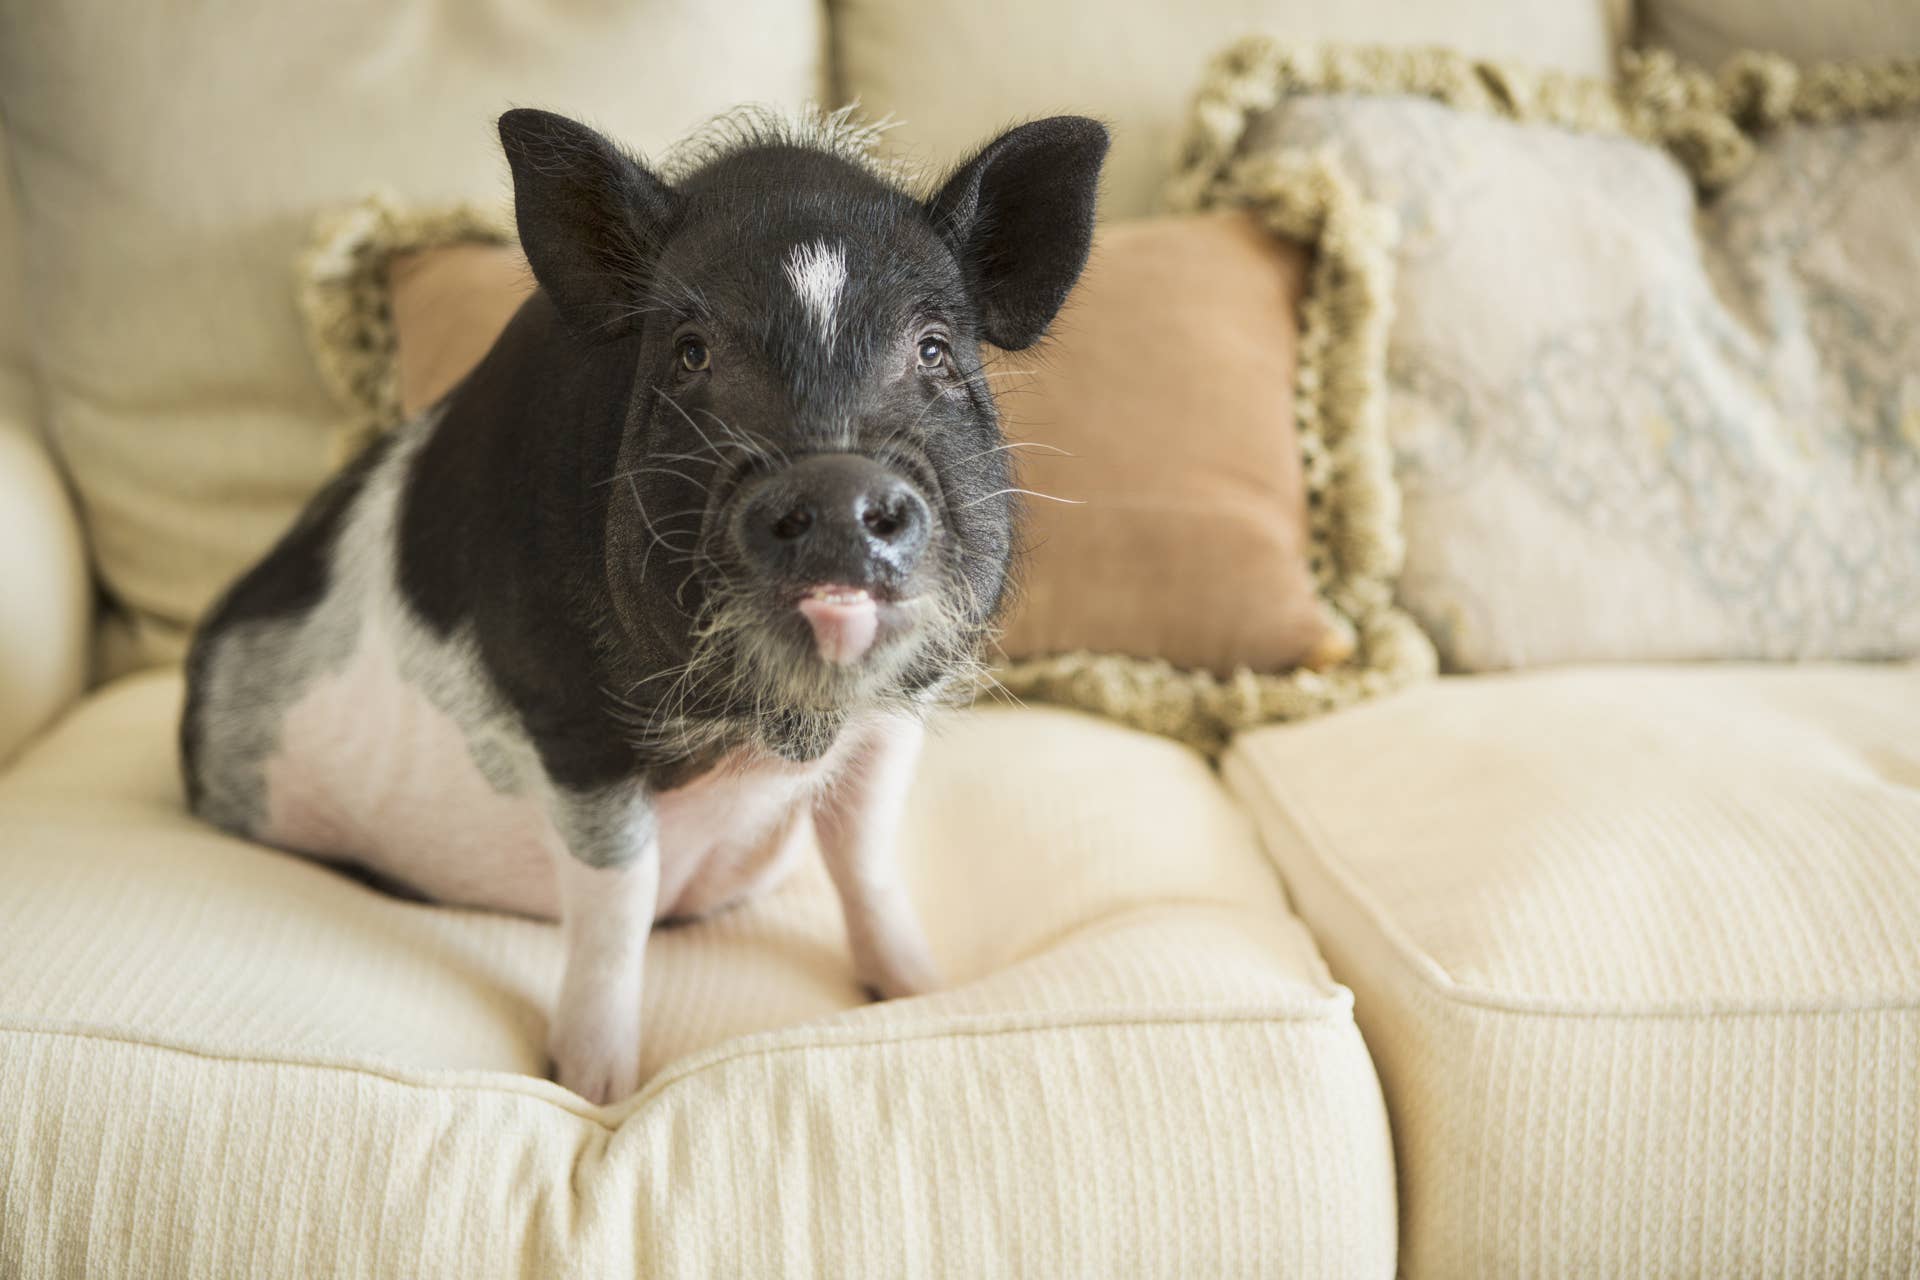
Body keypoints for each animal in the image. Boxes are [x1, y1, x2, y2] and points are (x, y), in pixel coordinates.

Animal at [179, 106, 1108, 1103]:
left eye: (933, 347)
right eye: (690, 352)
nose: (834, 483)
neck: (769, 735)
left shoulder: (899, 708)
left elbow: (865, 857)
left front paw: (926, 991)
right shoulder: (568, 717)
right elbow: (618, 899)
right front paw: (596, 1089)